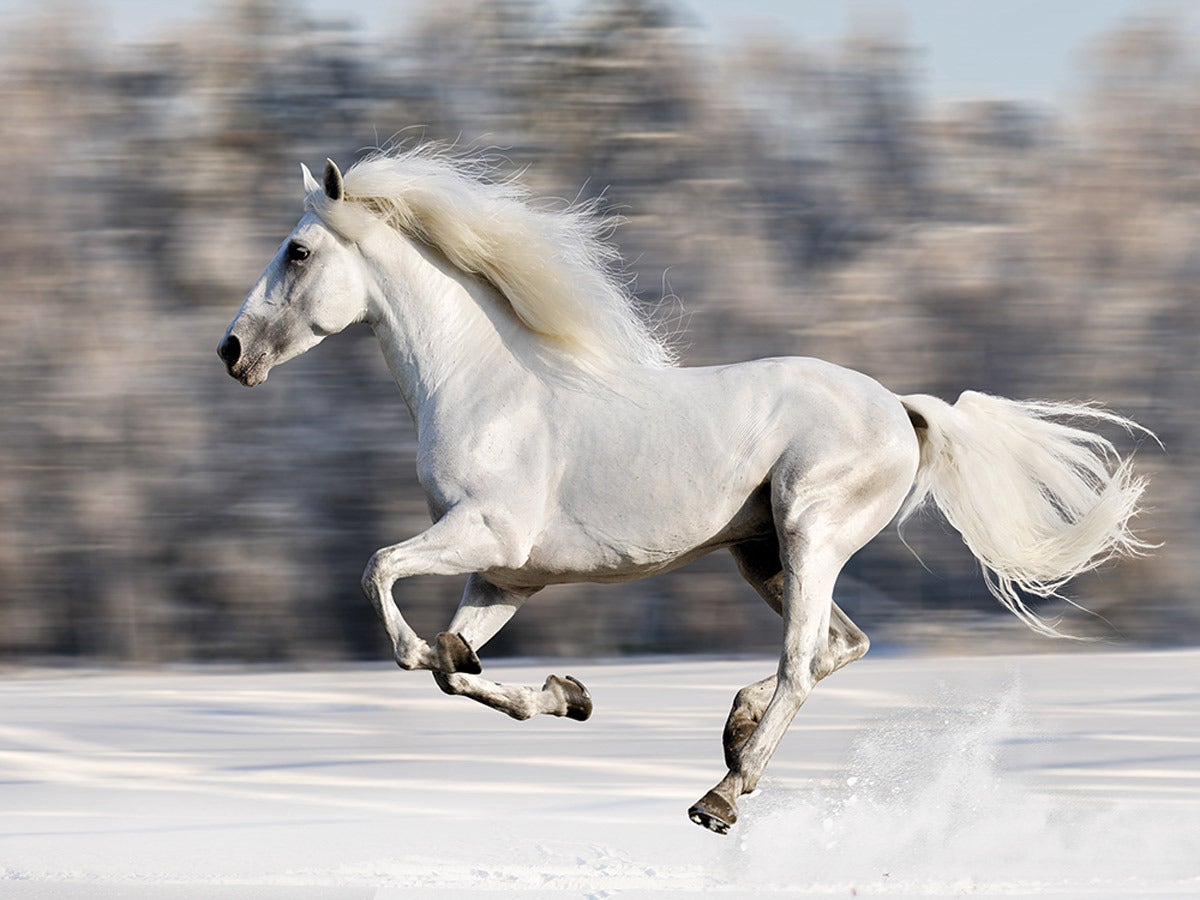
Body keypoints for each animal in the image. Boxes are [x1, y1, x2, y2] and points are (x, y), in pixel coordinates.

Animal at [217, 146, 1151, 834]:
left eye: (297, 251)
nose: (230, 351)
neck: (486, 388)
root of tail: (901, 408)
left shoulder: (487, 535)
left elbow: (382, 579)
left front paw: (446, 657)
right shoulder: (508, 575)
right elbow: (458, 671)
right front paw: (566, 695)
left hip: (809, 535)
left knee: (805, 661)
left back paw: (721, 796)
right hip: (761, 554)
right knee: (841, 646)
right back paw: (734, 733)